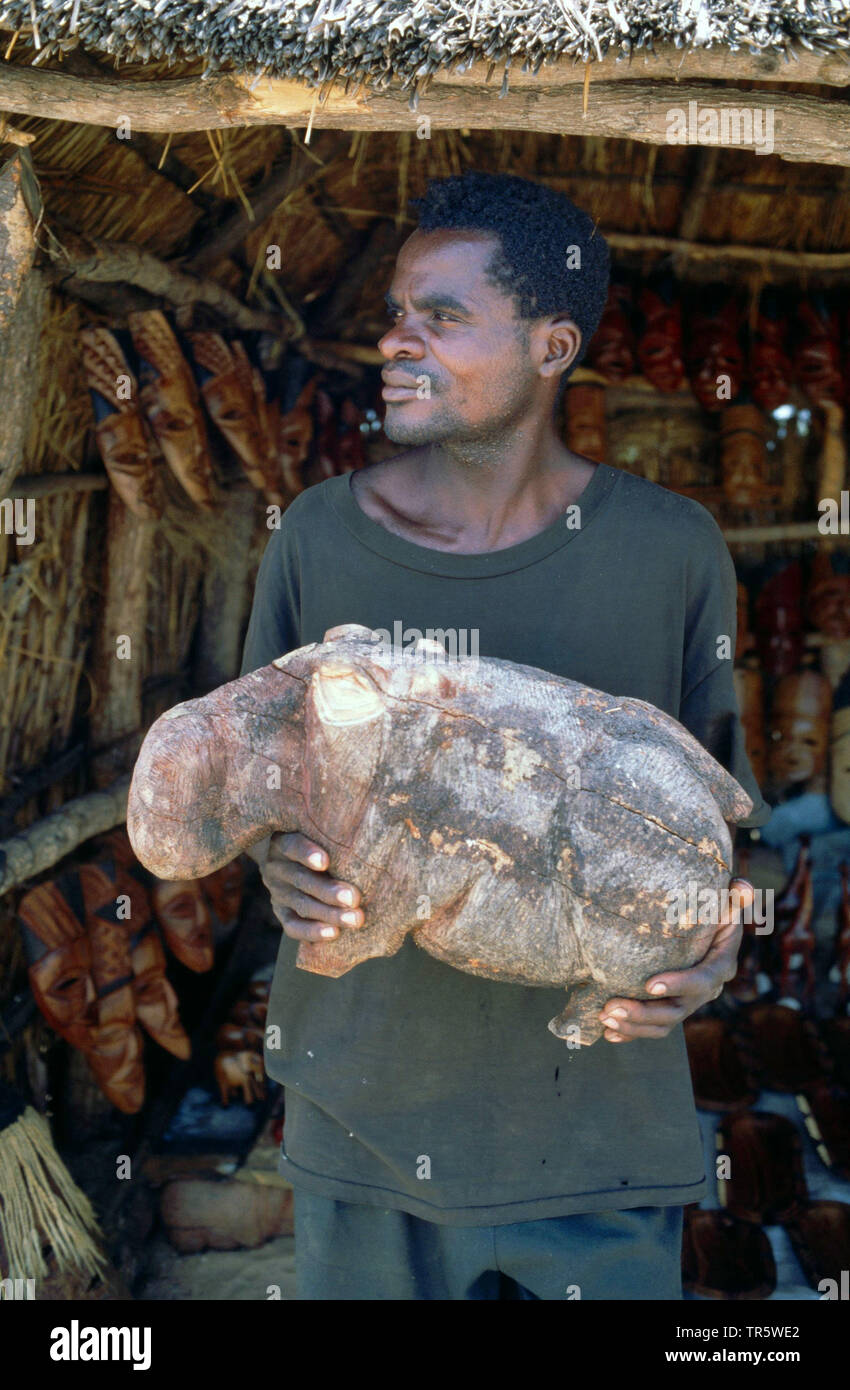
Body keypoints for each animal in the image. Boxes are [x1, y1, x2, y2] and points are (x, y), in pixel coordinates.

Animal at [127, 623, 752, 1044]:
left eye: (328, 698)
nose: (168, 723)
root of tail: (722, 847)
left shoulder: (374, 867)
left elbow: (345, 947)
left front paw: (315, 963)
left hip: (639, 935)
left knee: (604, 996)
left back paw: (568, 1033)